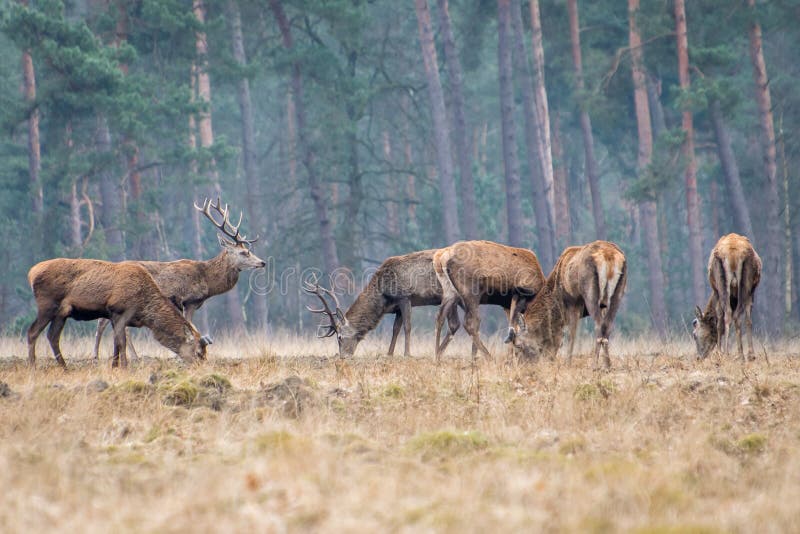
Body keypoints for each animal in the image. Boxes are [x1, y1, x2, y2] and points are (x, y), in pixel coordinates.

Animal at [27, 259, 211, 369]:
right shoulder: (118, 311)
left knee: (52, 336)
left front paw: (114, 366)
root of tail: (31, 273)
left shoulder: (114, 317)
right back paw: (33, 365)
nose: (201, 367)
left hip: (62, 313)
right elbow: (121, 341)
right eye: (198, 352)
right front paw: (124, 367)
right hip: (47, 305)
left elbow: (115, 342)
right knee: (33, 332)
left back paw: (64, 367)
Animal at [92, 198, 266, 362]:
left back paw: (97, 355)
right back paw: (128, 356)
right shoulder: (188, 301)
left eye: (248, 250)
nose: (262, 262)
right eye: (244, 252)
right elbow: (188, 324)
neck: (207, 280)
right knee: (117, 325)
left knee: (103, 321)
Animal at [303, 249, 461, 357]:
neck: (383, 298)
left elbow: (407, 327)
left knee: (454, 324)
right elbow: (395, 329)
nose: (343, 357)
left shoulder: (405, 297)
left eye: (339, 337)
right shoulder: (397, 307)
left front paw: (407, 354)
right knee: (455, 325)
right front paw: (389, 354)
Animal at [509, 241, 627, 369]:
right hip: (618, 292)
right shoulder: (602, 305)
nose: (522, 365)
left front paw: (567, 362)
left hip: (590, 293)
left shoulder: (572, 303)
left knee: (598, 325)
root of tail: (608, 256)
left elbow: (568, 334)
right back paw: (607, 365)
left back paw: (594, 365)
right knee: (607, 325)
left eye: (518, 345)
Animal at [692, 233, 761, 362]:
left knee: (730, 314)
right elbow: (746, 319)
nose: (698, 357)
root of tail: (733, 255)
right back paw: (738, 355)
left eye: (694, 335)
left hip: (724, 285)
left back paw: (729, 354)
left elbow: (722, 321)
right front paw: (751, 355)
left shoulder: (717, 292)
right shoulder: (750, 293)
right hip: (743, 286)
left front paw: (720, 352)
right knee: (735, 315)